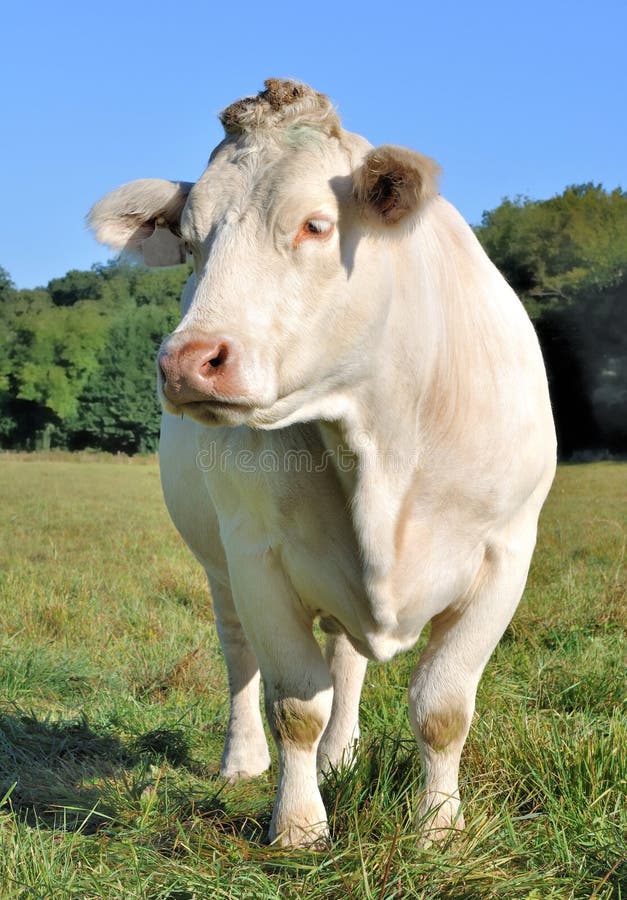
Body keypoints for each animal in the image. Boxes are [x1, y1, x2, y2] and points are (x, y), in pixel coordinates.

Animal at [89, 79, 556, 849]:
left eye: (314, 225)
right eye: (189, 240)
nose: (188, 361)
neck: (379, 441)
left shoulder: (505, 553)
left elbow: (442, 706)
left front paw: (438, 827)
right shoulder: (258, 556)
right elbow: (294, 704)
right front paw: (298, 826)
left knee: (346, 658)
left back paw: (343, 754)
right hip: (220, 564)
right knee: (241, 657)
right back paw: (243, 760)